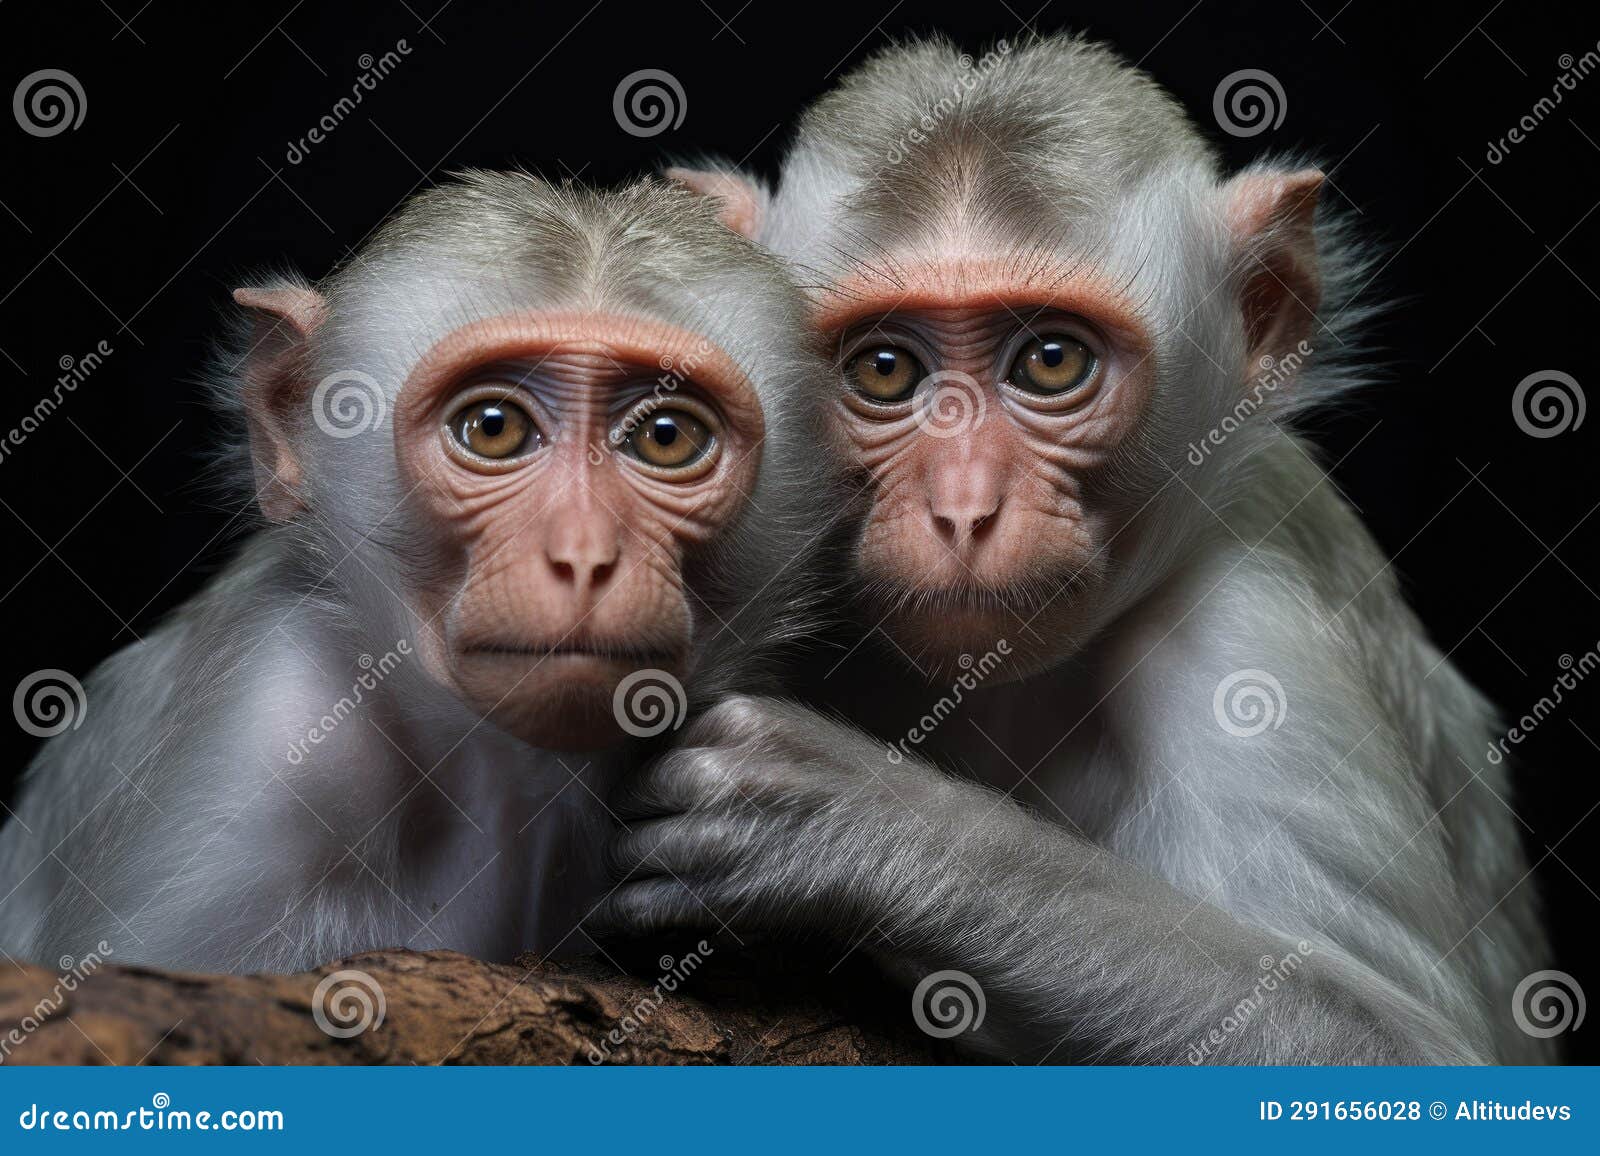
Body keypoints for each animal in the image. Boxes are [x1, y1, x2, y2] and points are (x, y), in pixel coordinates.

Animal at [603, 36, 1552, 1064]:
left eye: (1051, 361)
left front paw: (850, 823)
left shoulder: (1245, 633)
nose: (963, 507)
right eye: (884, 370)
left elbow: (1393, 1043)